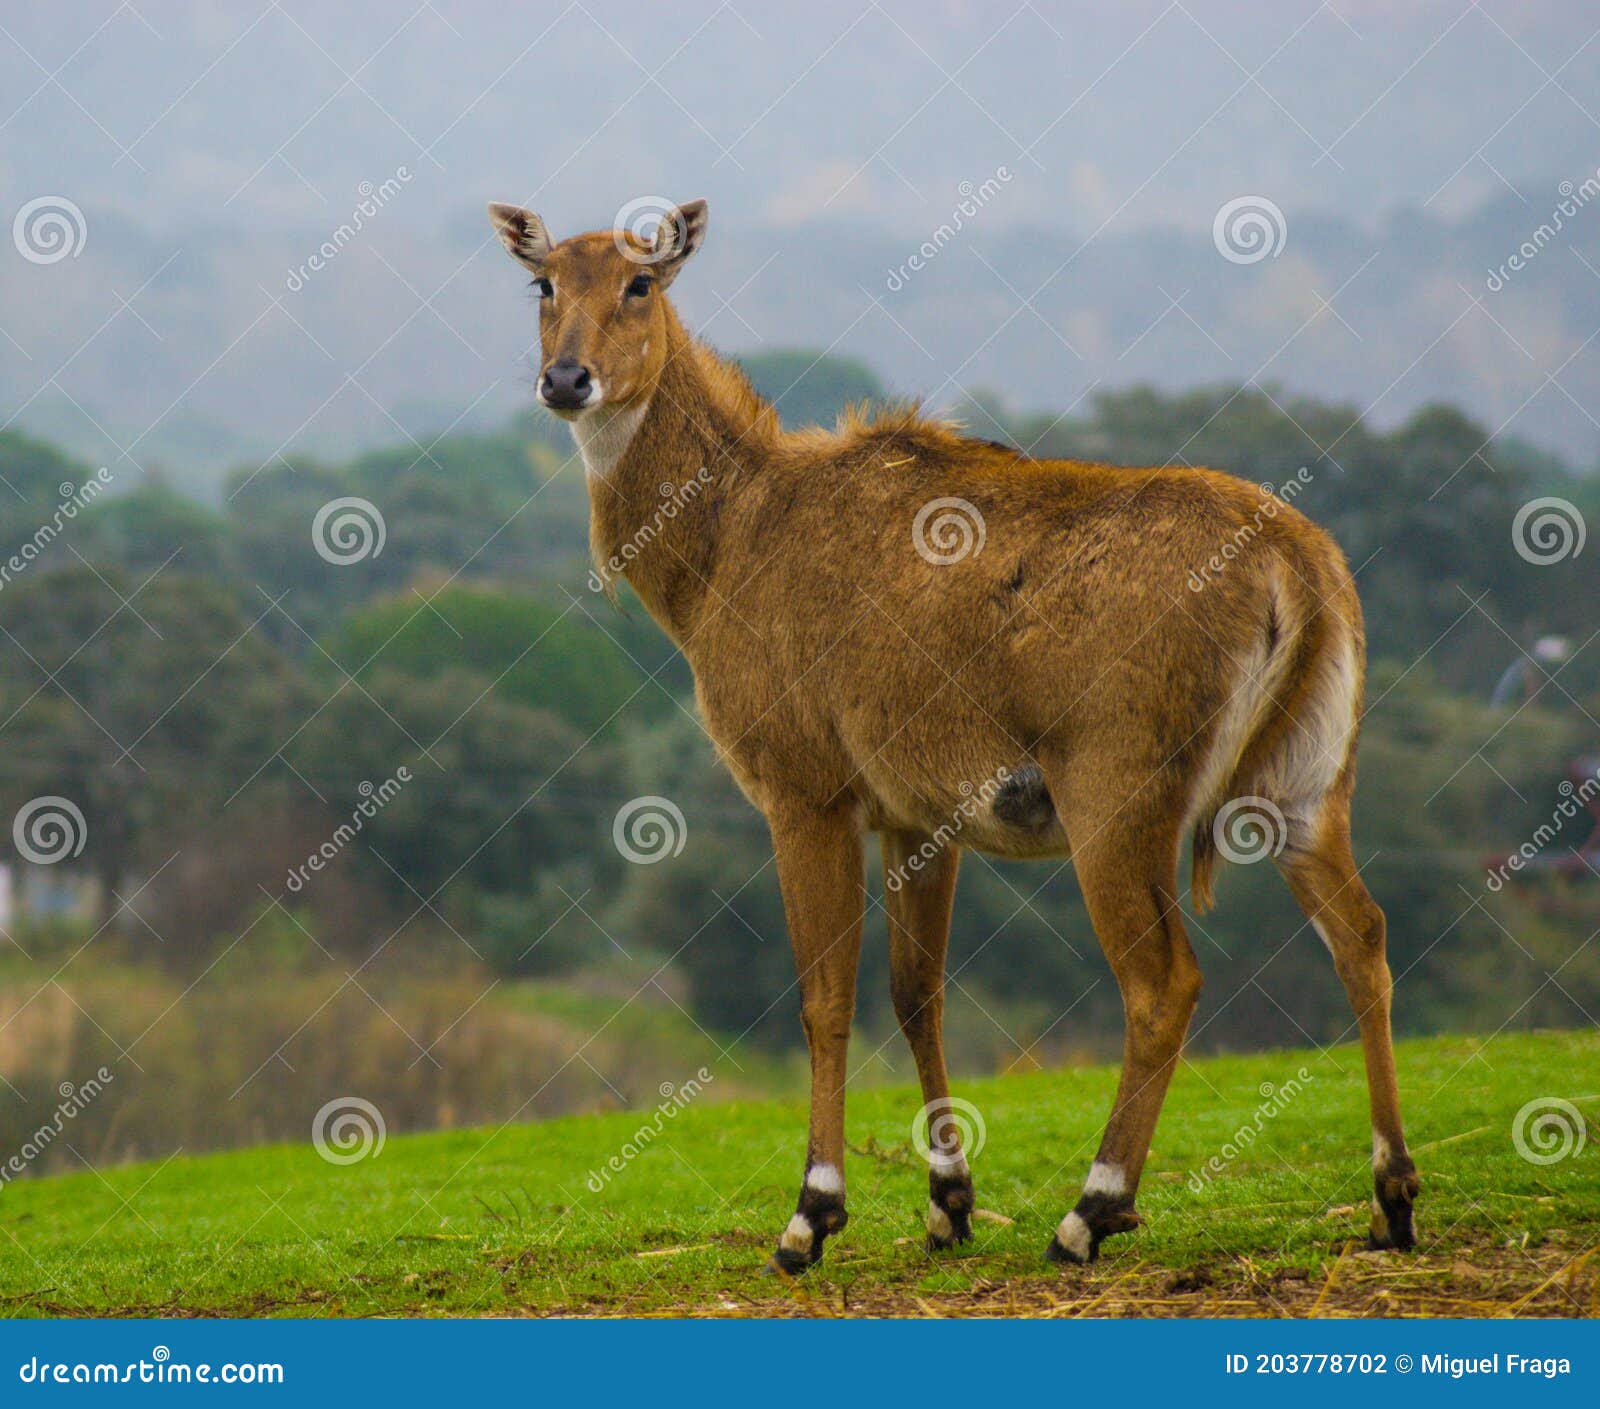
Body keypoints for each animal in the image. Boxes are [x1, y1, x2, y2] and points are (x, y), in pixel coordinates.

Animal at [486, 196, 1421, 1272]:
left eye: (641, 282)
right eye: (543, 281)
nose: (566, 379)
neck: (719, 547)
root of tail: (1297, 567)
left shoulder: (806, 788)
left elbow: (823, 995)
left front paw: (810, 1215)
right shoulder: (914, 814)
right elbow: (914, 990)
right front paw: (947, 1200)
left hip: (1116, 794)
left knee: (1163, 982)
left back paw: (1089, 1208)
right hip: (1307, 783)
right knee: (1361, 933)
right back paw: (1391, 1197)